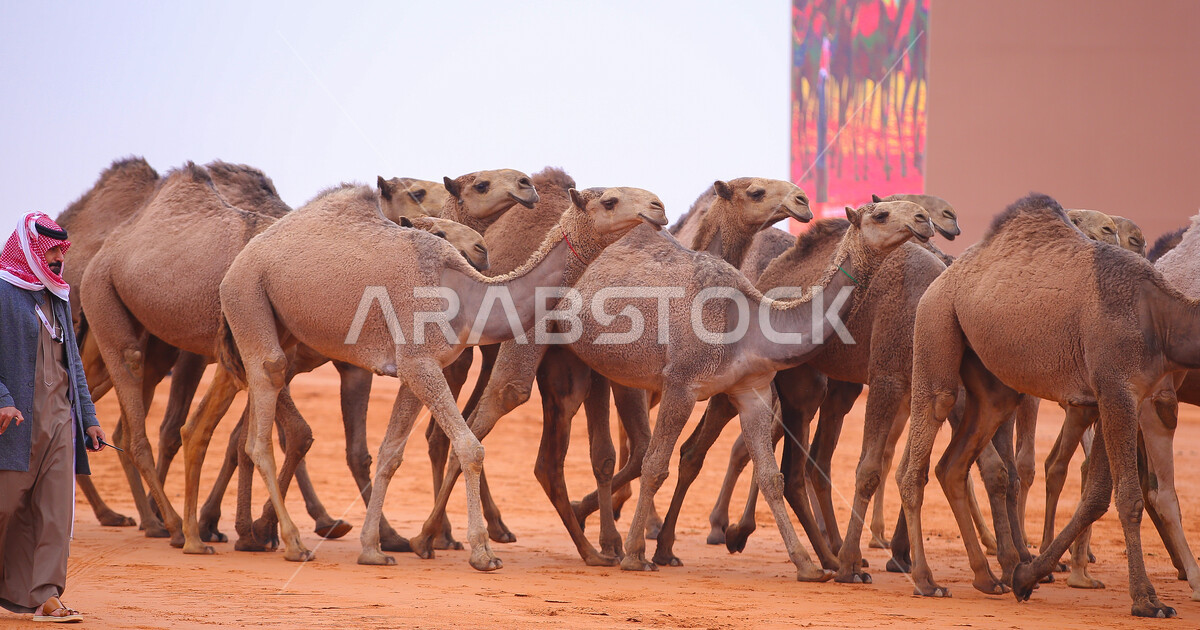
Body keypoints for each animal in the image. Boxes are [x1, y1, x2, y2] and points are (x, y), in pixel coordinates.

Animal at [216, 184, 664, 568]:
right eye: (609, 200)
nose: (657, 206)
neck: (469, 295)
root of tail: (242, 257)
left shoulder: (416, 368)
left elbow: (391, 453)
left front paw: (372, 549)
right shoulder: (419, 361)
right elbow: (470, 447)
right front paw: (482, 551)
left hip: (284, 326)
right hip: (247, 295)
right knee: (262, 417)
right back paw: (292, 543)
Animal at [410, 178, 811, 565]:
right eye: (756, 191)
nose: (803, 202)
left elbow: (615, 455)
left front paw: (619, 537)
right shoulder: (636, 377)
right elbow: (637, 451)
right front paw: (629, 539)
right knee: (489, 407)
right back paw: (435, 536)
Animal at [897, 193, 1198, 618]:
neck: (1161, 315)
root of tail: (946, 275)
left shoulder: (1120, 396)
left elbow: (1098, 495)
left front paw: (1026, 577)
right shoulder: (1116, 389)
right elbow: (1128, 497)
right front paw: (1145, 600)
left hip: (993, 384)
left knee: (953, 464)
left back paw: (988, 578)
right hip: (936, 324)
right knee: (920, 455)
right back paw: (926, 581)